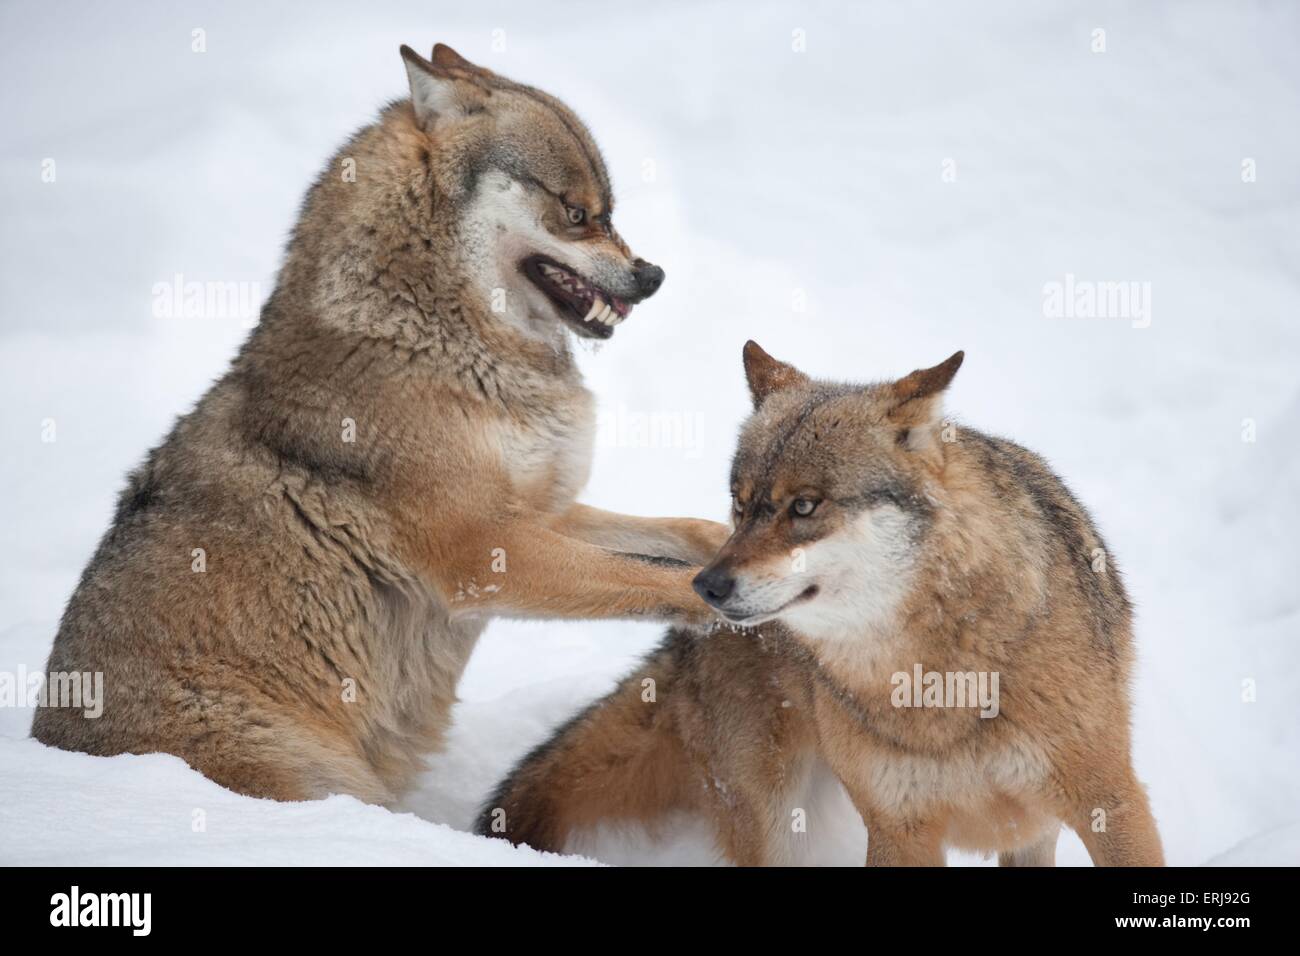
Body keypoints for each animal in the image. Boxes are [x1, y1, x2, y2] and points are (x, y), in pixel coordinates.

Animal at [31, 44, 728, 804]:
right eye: (576, 213)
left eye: (610, 213)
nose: (652, 275)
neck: (432, 332)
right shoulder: (482, 549)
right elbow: (649, 579)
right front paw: (722, 602)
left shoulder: (538, 511)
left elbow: (679, 535)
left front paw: (739, 544)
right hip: (314, 776)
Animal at [478, 342, 1164, 866]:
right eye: (740, 504)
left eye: (804, 506)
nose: (705, 585)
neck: (941, 677)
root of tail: (681, 646)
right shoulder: (898, 830)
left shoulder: (1111, 806)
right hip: (778, 822)